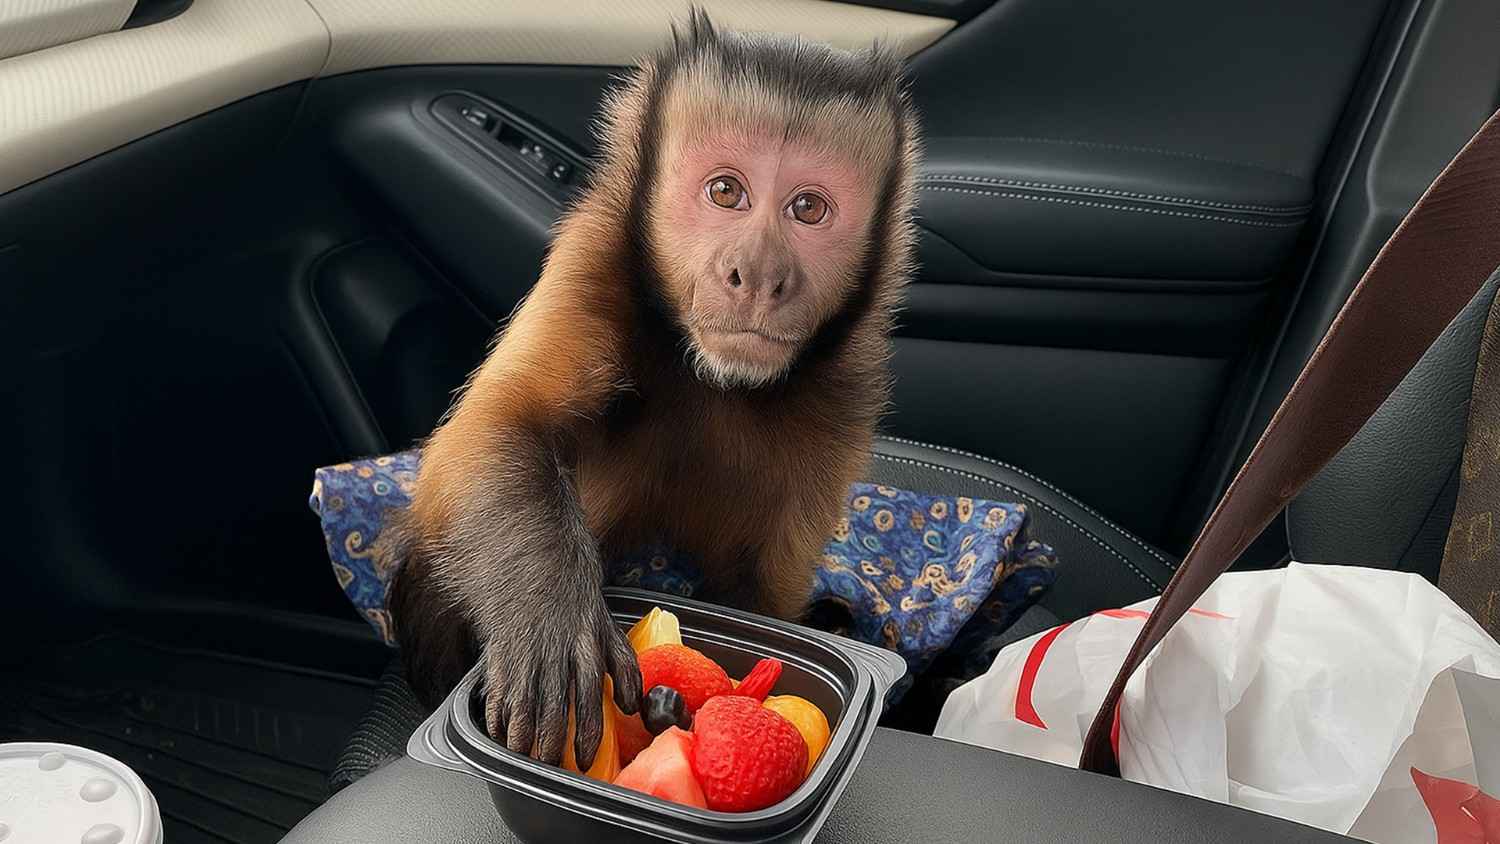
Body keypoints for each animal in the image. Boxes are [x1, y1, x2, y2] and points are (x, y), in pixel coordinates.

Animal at [387, 10, 920, 773]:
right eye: (725, 192)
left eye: (808, 208)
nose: (756, 273)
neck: (708, 371)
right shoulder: (590, 267)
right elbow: (497, 427)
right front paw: (552, 615)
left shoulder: (849, 379)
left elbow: (762, 586)